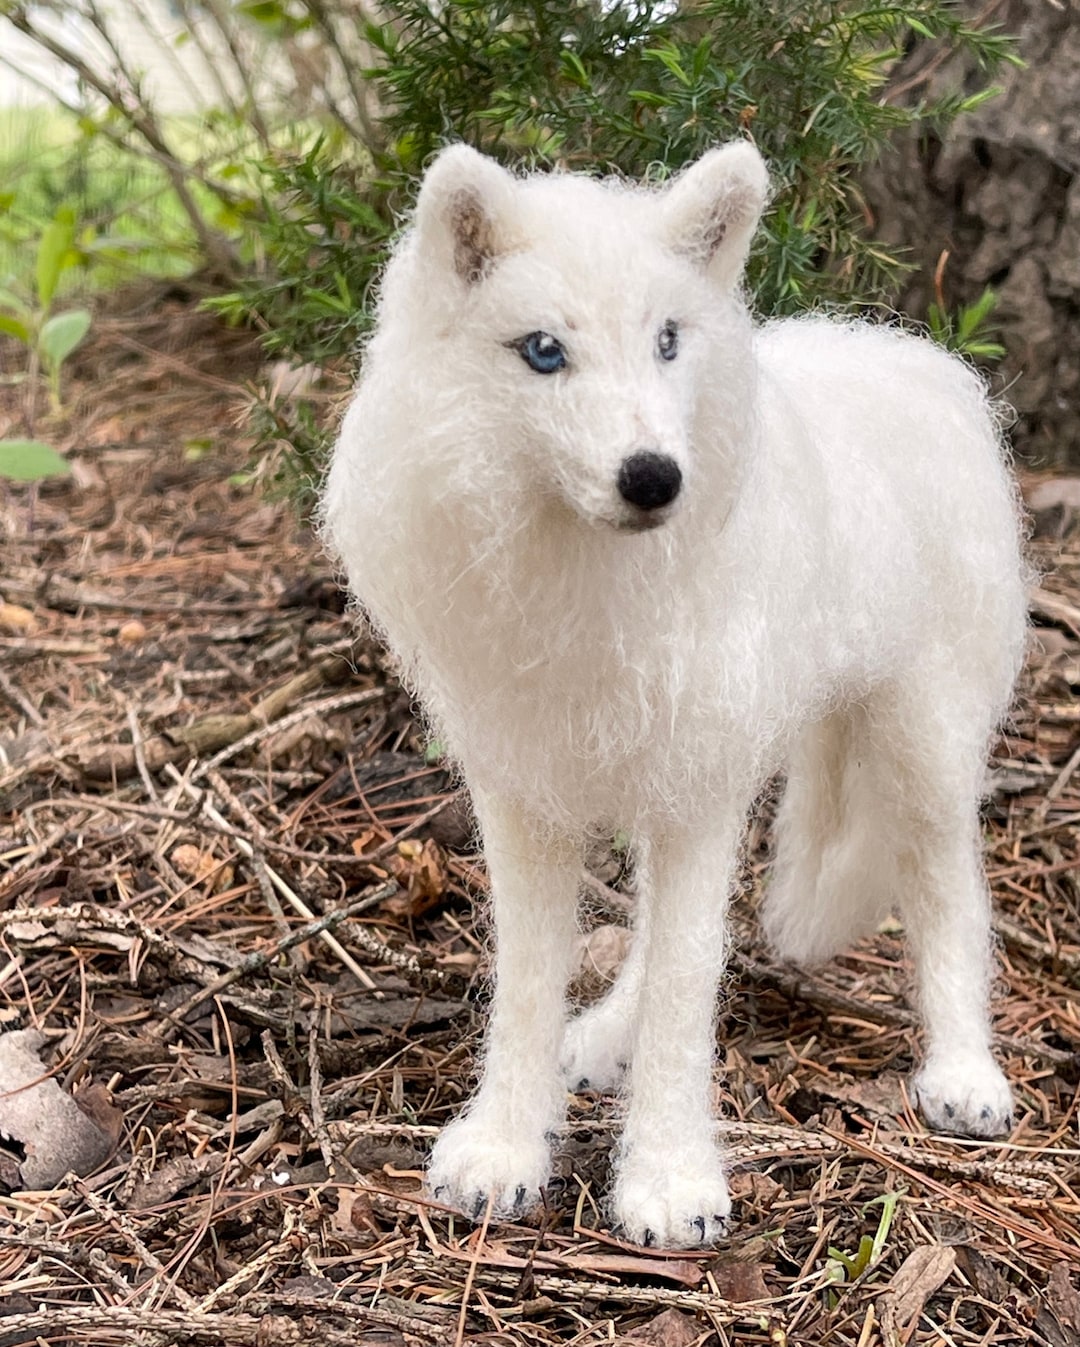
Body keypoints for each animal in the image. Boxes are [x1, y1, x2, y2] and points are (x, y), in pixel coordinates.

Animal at [322, 141, 1027, 1249]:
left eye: (665, 342)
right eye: (543, 353)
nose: (654, 478)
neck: (584, 587)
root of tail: (922, 360)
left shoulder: (701, 797)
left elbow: (690, 992)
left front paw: (668, 1182)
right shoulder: (530, 800)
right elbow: (531, 983)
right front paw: (503, 1155)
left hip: (917, 747)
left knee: (950, 894)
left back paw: (965, 1076)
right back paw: (602, 1041)